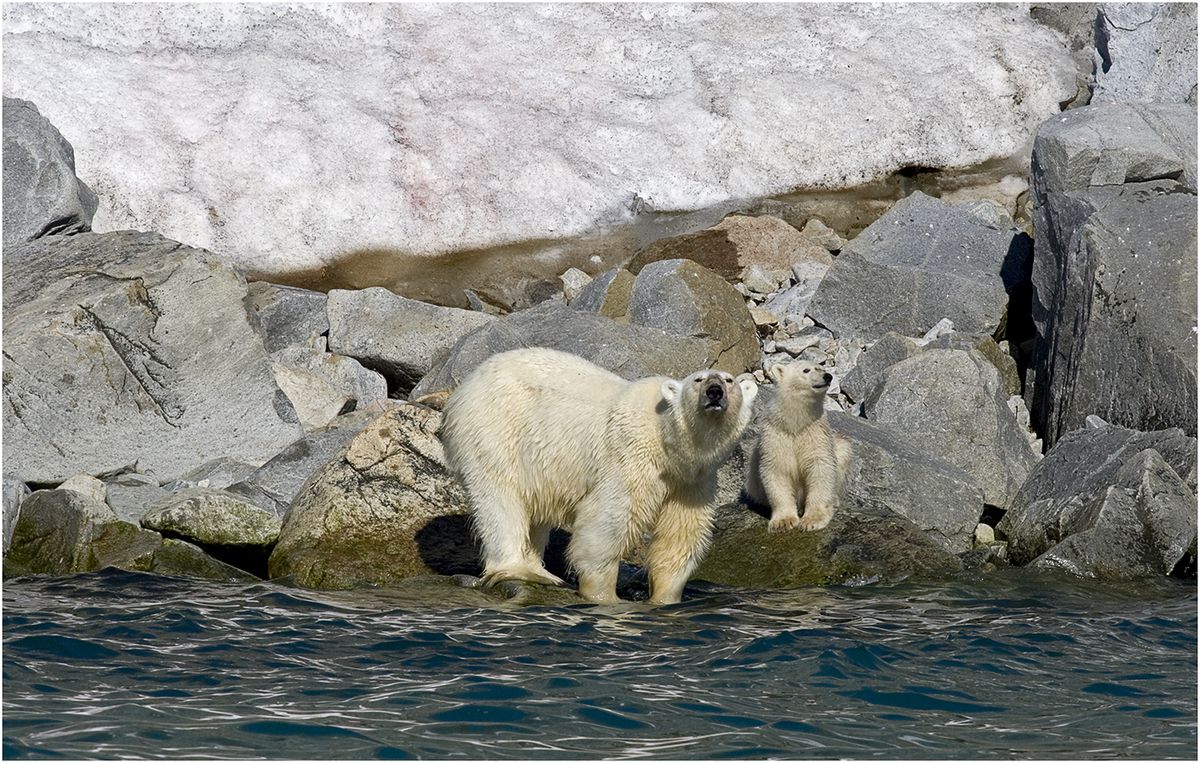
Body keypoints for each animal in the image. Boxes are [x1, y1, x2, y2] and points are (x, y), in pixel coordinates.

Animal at [439, 347, 758, 604]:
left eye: (729, 380)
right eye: (698, 380)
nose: (715, 391)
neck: (666, 441)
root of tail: (467, 383)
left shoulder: (691, 482)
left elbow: (680, 536)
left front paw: (664, 598)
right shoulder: (631, 459)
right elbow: (607, 525)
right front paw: (603, 596)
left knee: (535, 505)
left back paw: (539, 568)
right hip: (494, 426)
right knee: (500, 497)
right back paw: (522, 570)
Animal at [746, 360, 852, 533]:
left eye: (821, 368)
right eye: (806, 370)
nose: (827, 376)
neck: (795, 423)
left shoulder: (815, 432)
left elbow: (820, 468)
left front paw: (812, 520)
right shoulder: (775, 436)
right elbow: (777, 471)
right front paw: (783, 522)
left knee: (843, 450)